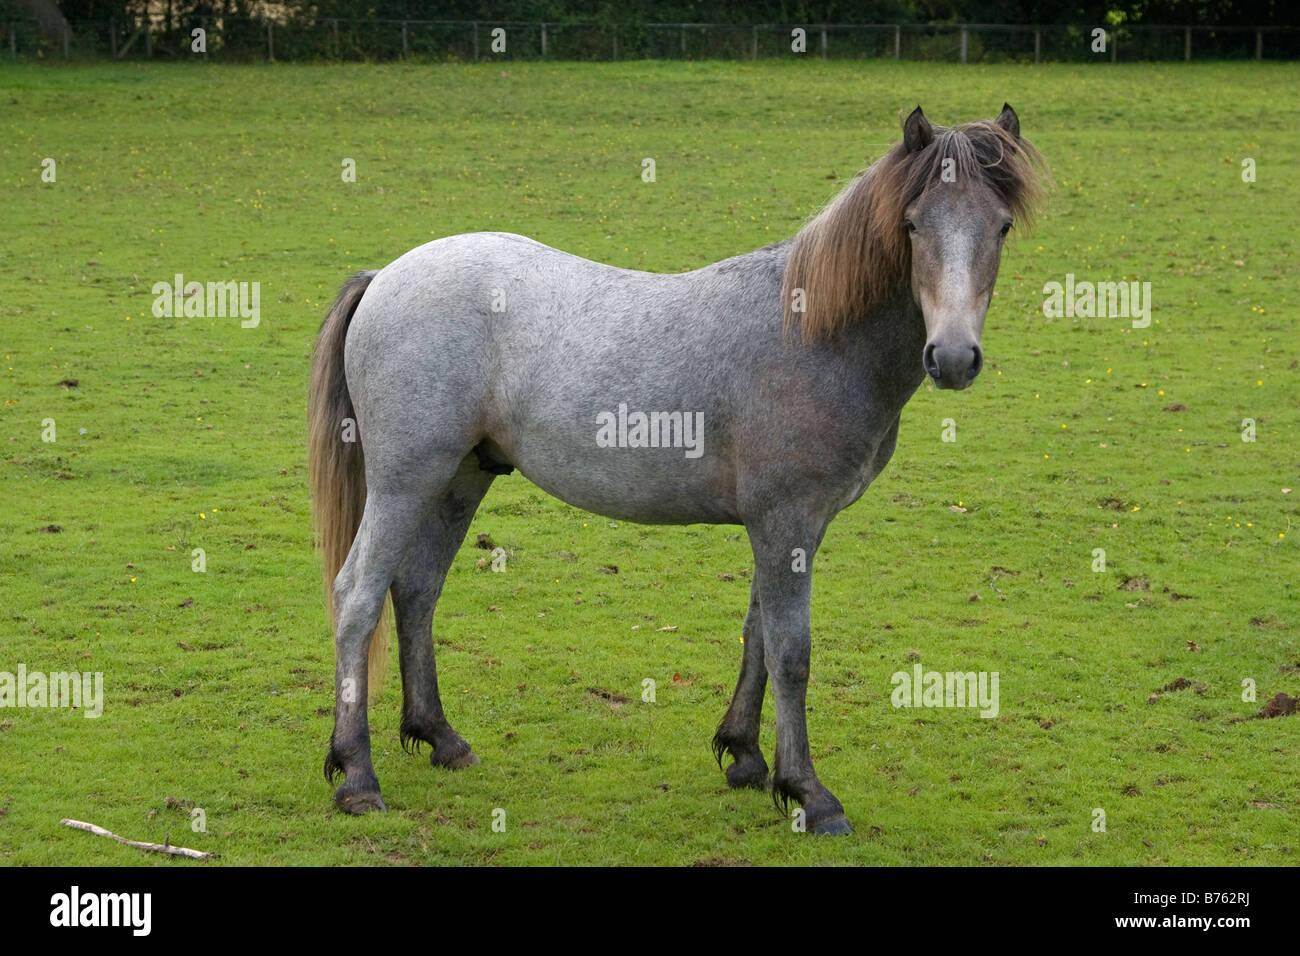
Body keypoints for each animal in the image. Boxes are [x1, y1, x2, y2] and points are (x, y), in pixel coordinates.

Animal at [307, 104, 1045, 835]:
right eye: (914, 224)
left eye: (1001, 226)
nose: (953, 357)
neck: (812, 333)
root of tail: (384, 278)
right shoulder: (788, 521)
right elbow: (790, 652)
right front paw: (809, 793)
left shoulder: (784, 527)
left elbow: (757, 636)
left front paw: (746, 756)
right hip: (406, 481)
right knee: (358, 596)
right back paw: (358, 777)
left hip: (460, 478)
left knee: (417, 590)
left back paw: (440, 738)